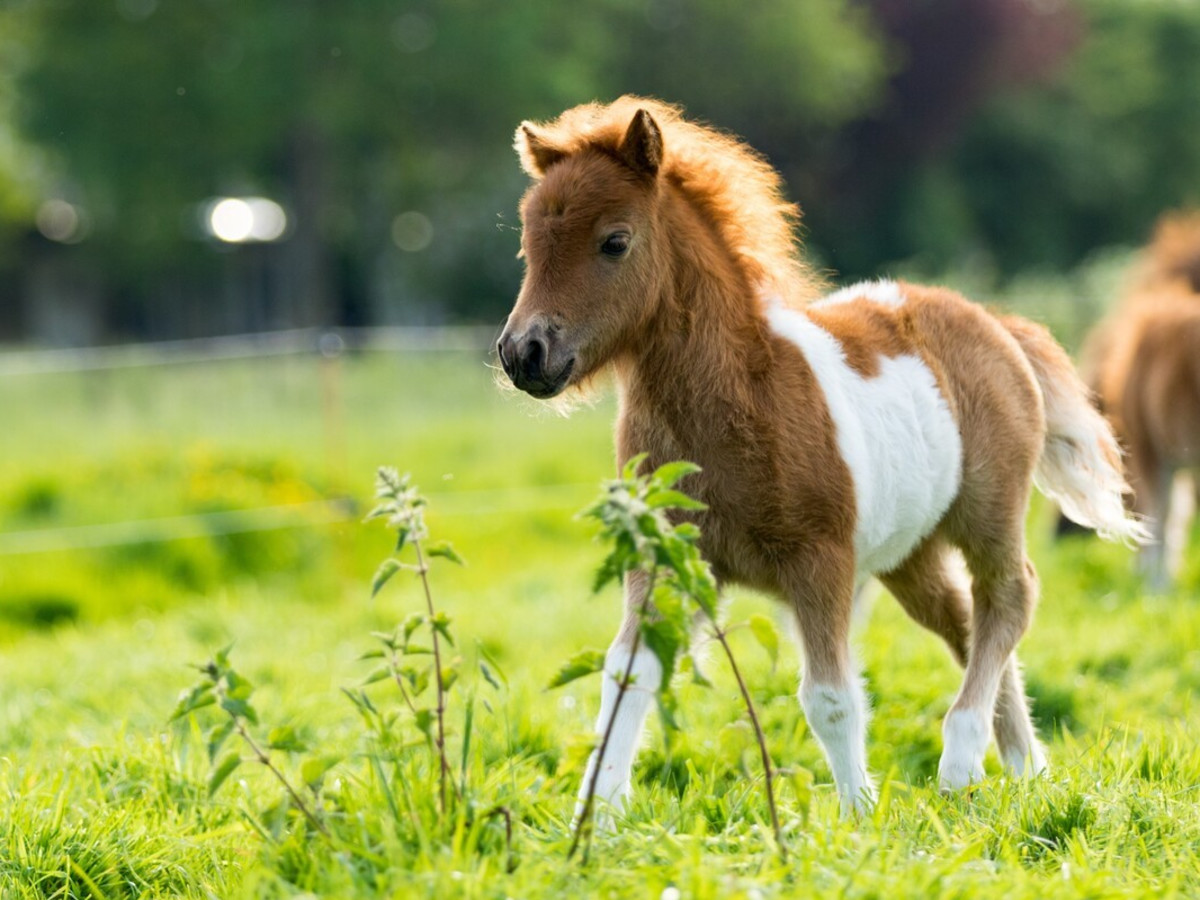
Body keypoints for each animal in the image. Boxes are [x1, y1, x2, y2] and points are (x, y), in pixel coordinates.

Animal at [496, 97, 1146, 819]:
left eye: (614, 241)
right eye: (528, 243)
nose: (524, 354)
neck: (740, 398)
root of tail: (995, 321)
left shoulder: (821, 562)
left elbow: (831, 699)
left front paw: (857, 816)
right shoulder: (666, 555)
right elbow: (629, 674)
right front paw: (598, 815)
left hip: (988, 512)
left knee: (1008, 597)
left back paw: (960, 761)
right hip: (908, 553)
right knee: (963, 620)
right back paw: (1026, 767)